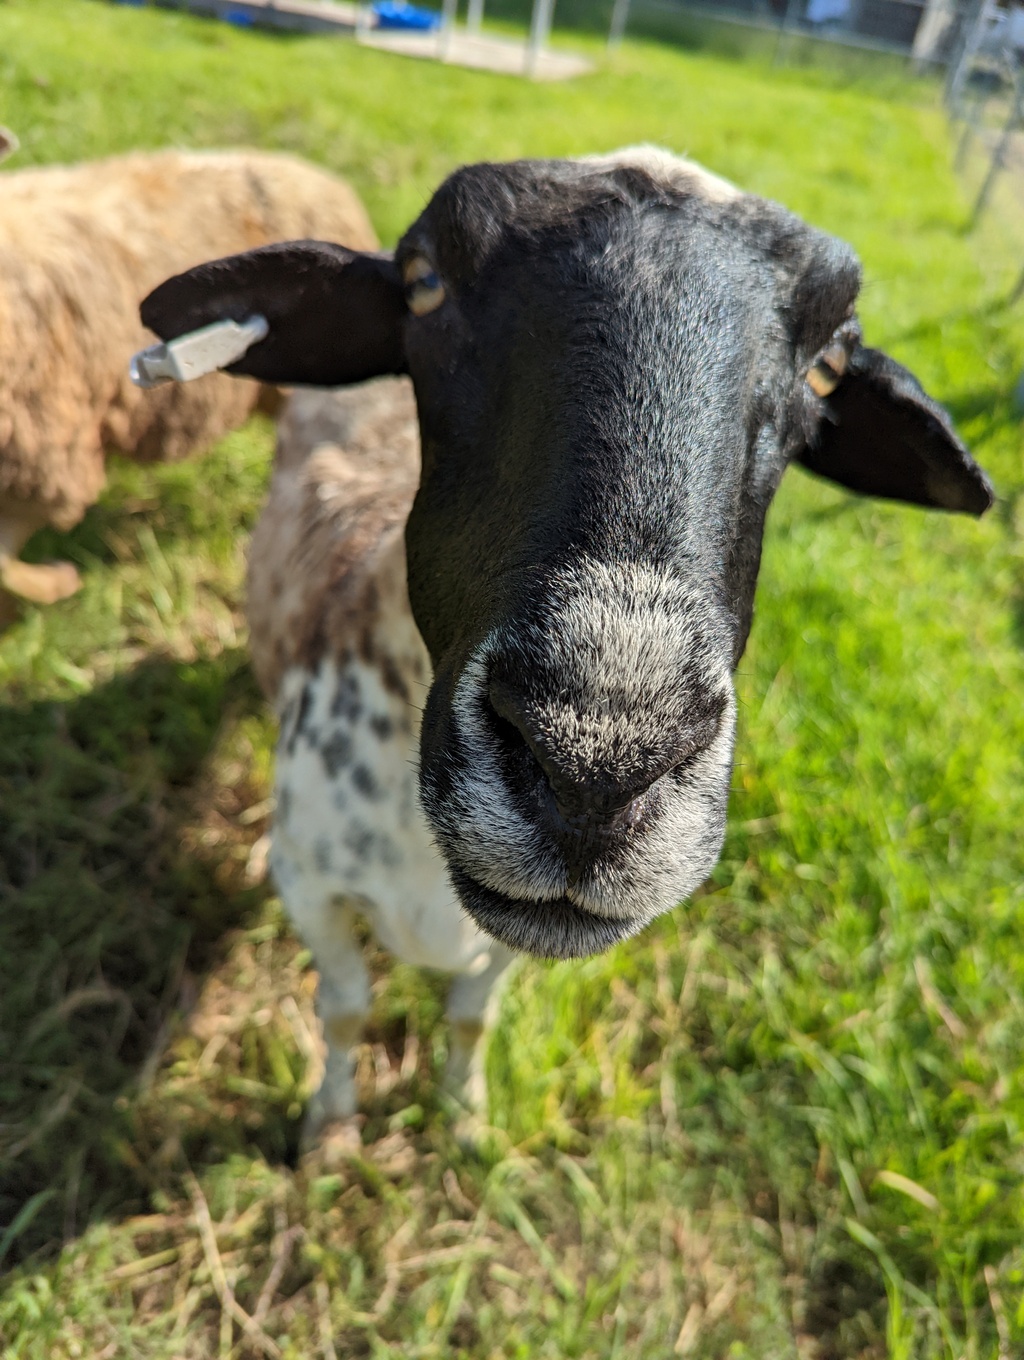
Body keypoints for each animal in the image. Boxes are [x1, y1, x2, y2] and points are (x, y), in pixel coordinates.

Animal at [138, 146, 993, 1138]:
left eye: (829, 364)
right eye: (423, 283)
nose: (596, 769)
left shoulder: (504, 940)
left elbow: (472, 1019)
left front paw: (464, 1119)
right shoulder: (311, 886)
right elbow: (345, 1008)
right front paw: (332, 1128)